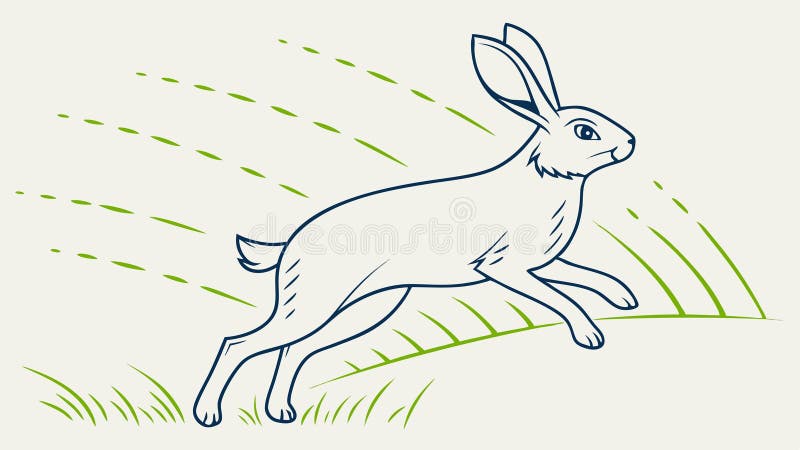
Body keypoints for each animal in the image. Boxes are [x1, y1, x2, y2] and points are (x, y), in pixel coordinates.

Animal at [194, 23, 638, 427]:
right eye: (585, 131)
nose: (632, 143)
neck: (545, 179)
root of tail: (289, 245)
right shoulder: (504, 268)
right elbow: (561, 298)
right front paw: (590, 335)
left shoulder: (539, 263)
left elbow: (587, 275)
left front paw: (624, 298)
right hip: (313, 305)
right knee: (240, 343)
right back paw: (208, 414)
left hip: (365, 308)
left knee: (295, 349)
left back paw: (281, 413)